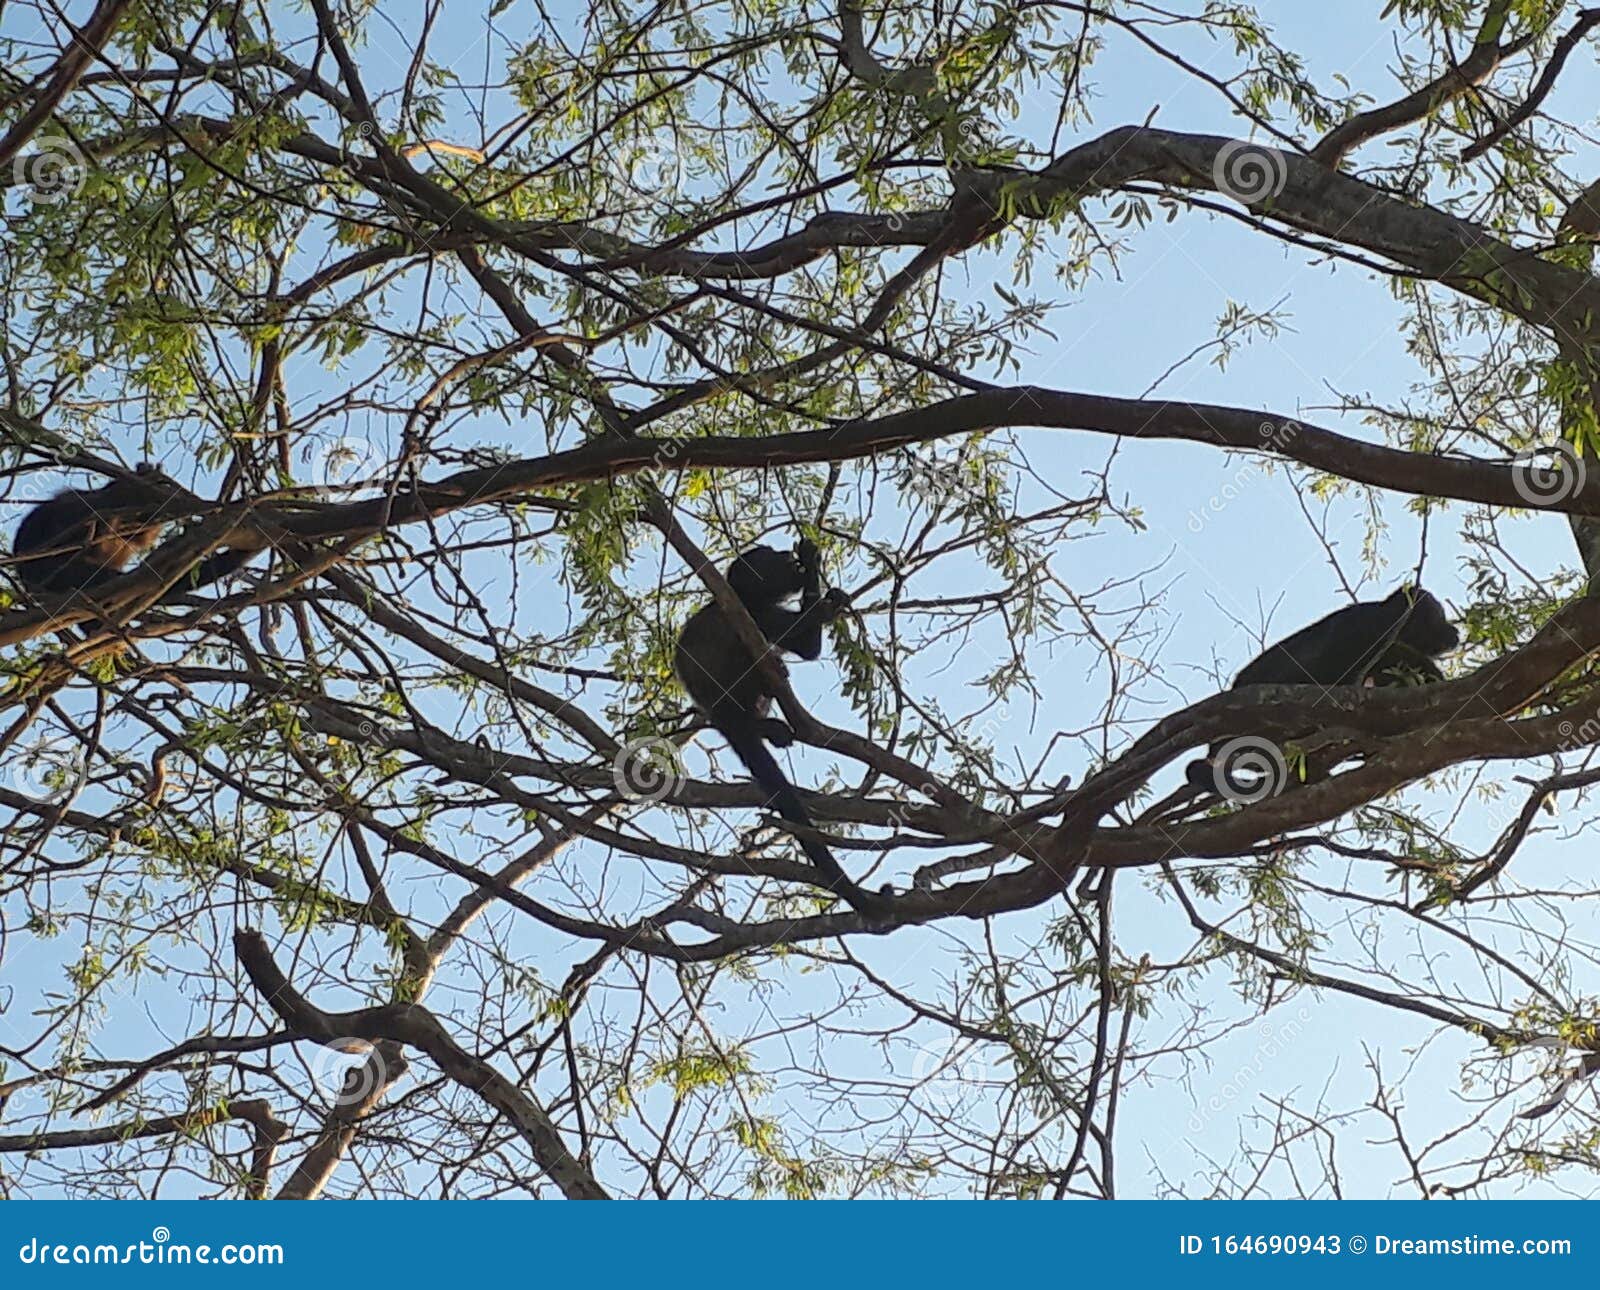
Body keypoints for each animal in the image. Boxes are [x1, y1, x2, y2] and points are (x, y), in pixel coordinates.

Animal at [673, 538, 892, 919]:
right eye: (769, 556)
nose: (785, 554)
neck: (747, 596)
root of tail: (722, 717)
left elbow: (807, 648)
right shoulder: (756, 615)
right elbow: (800, 639)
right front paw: (813, 563)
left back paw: (768, 728)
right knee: (747, 658)